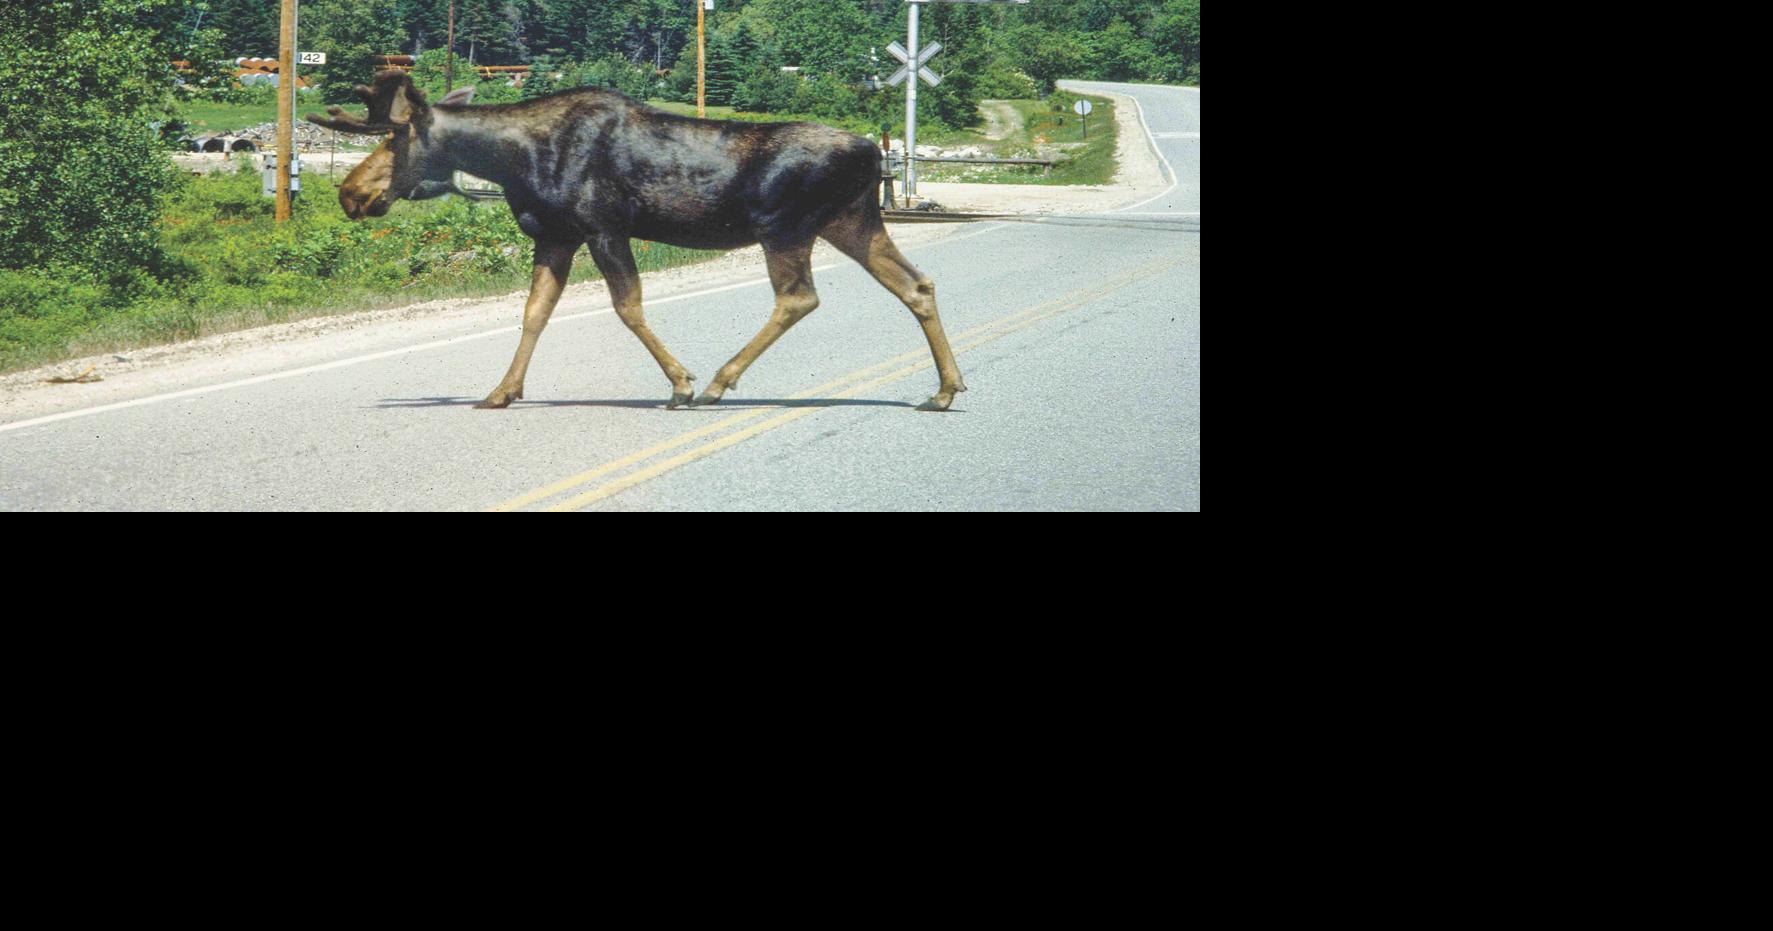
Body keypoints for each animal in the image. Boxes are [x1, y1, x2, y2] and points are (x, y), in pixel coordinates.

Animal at [307, 72, 967, 412]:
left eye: (393, 138)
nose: (350, 192)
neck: (511, 162)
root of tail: (874, 151)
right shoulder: (555, 237)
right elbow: (534, 312)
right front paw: (501, 391)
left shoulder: (603, 226)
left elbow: (627, 306)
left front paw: (680, 383)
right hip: (852, 222)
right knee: (916, 284)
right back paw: (944, 389)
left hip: (785, 226)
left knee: (798, 297)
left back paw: (719, 382)